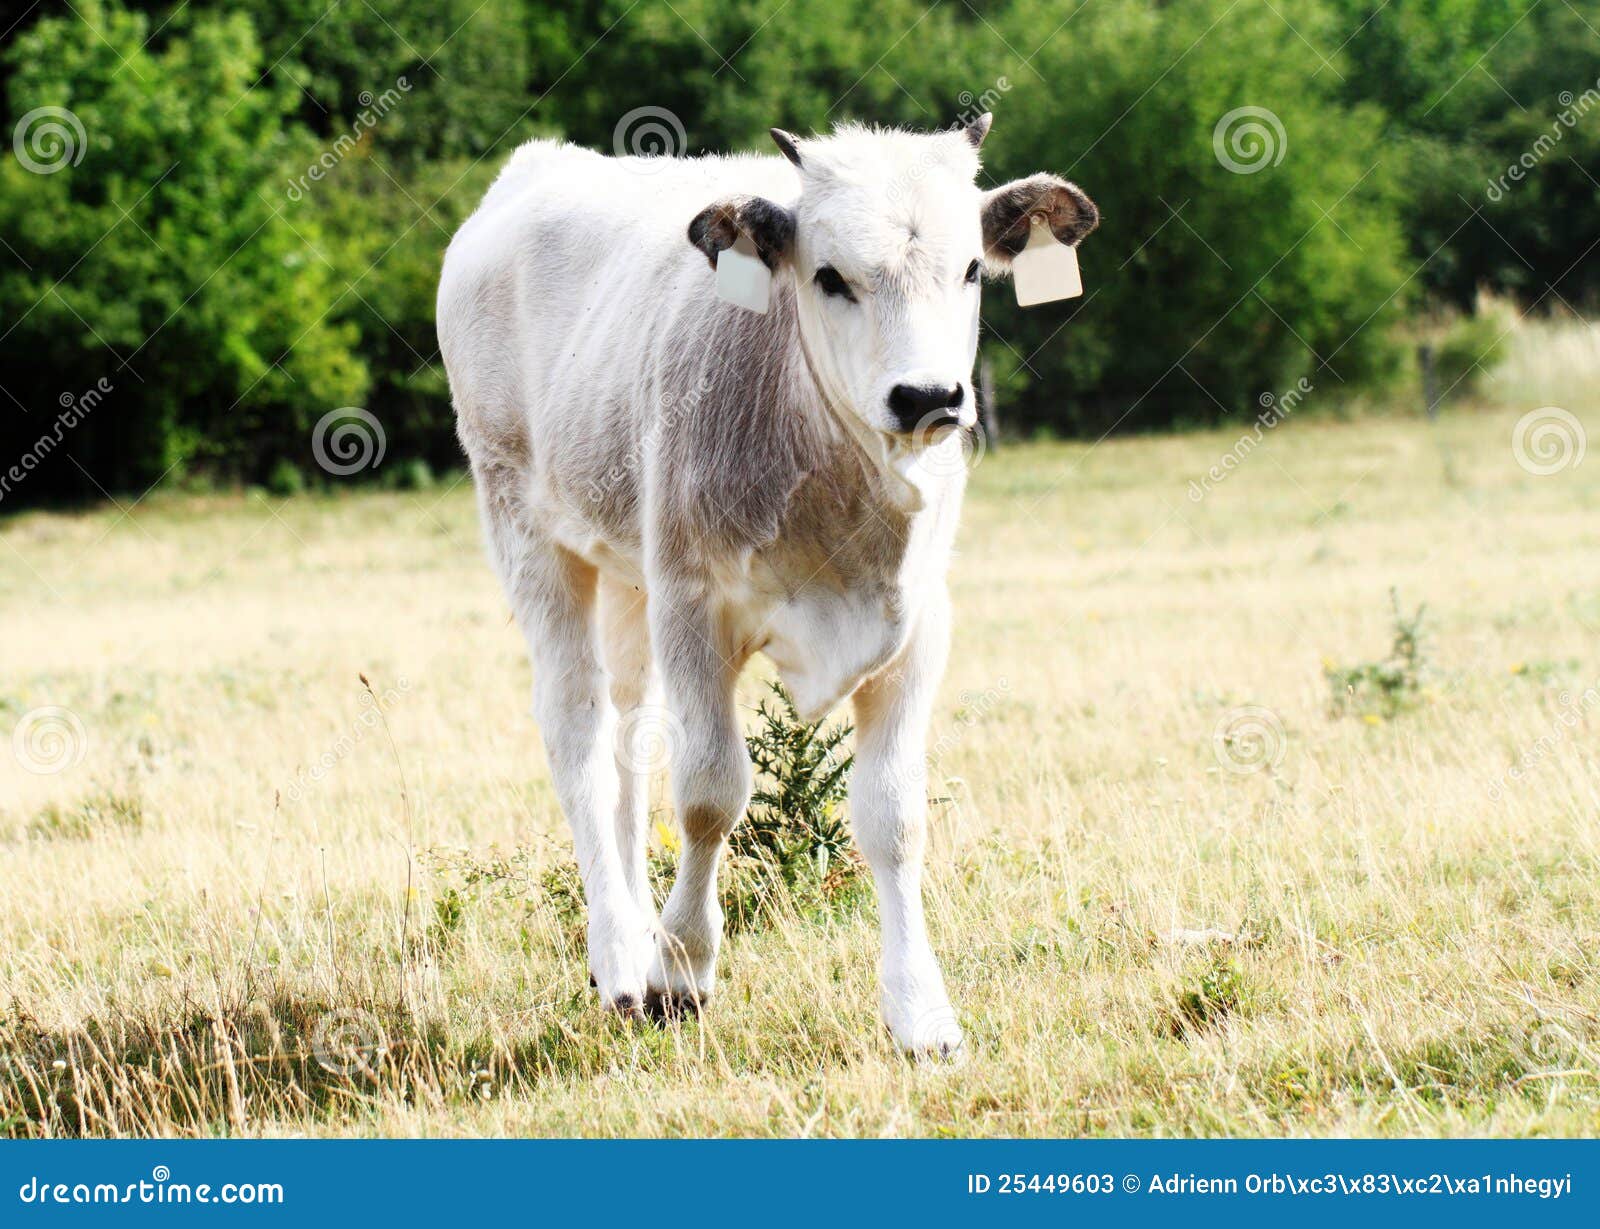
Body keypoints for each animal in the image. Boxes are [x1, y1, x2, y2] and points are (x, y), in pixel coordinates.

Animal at [436, 114, 1096, 1056]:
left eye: (972, 269)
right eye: (829, 276)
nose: (927, 395)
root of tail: (535, 169)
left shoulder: (918, 628)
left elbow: (894, 816)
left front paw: (921, 1010)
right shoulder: (693, 606)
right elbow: (711, 792)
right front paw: (681, 969)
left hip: (629, 569)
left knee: (629, 735)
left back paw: (627, 929)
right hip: (526, 527)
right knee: (577, 731)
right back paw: (619, 952)